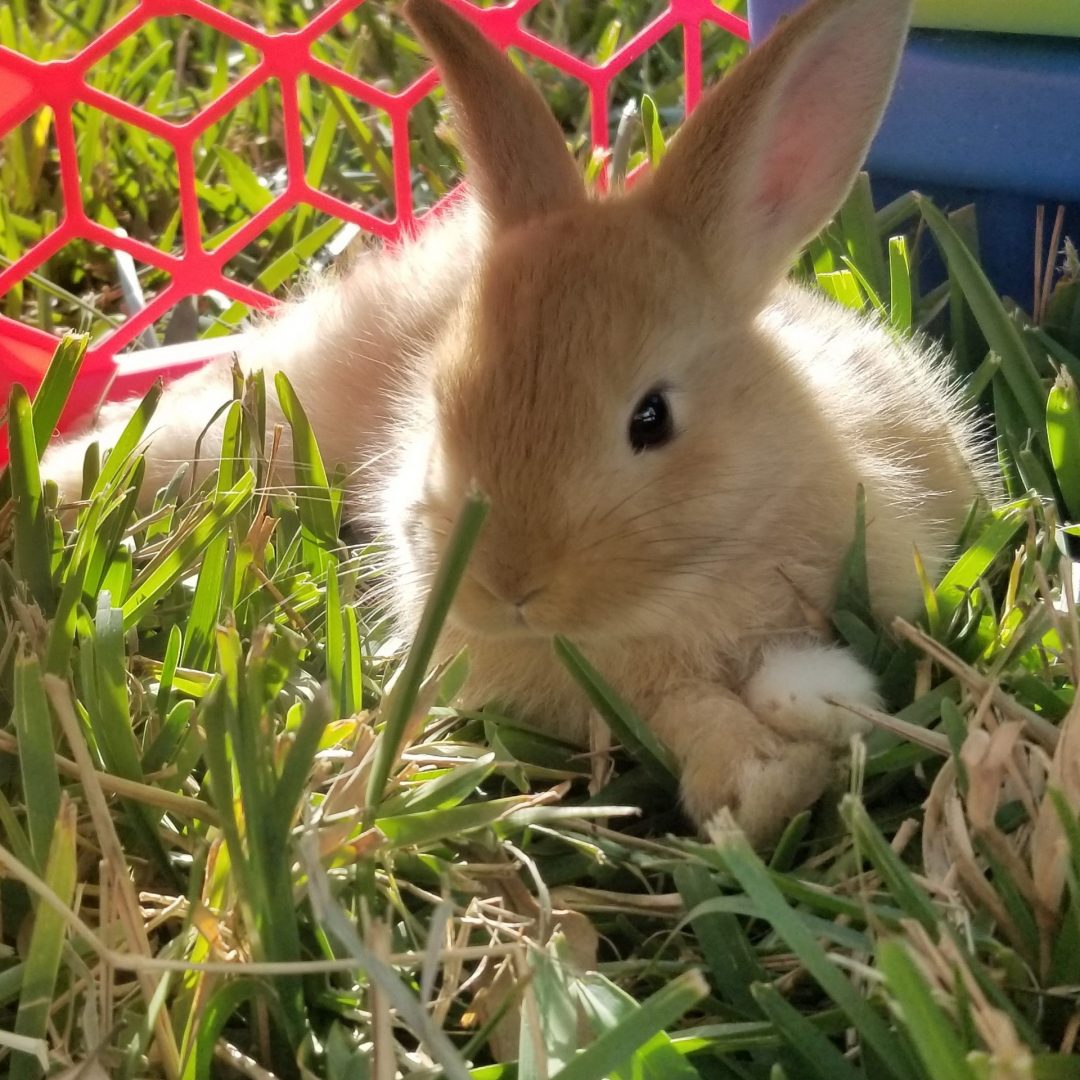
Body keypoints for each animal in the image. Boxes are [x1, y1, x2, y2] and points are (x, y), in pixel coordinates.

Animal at [40, 0, 995, 846]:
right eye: (441, 401)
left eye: (652, 418)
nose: (509, 587)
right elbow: (691, 714)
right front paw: (763, 788)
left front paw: (769, 782)